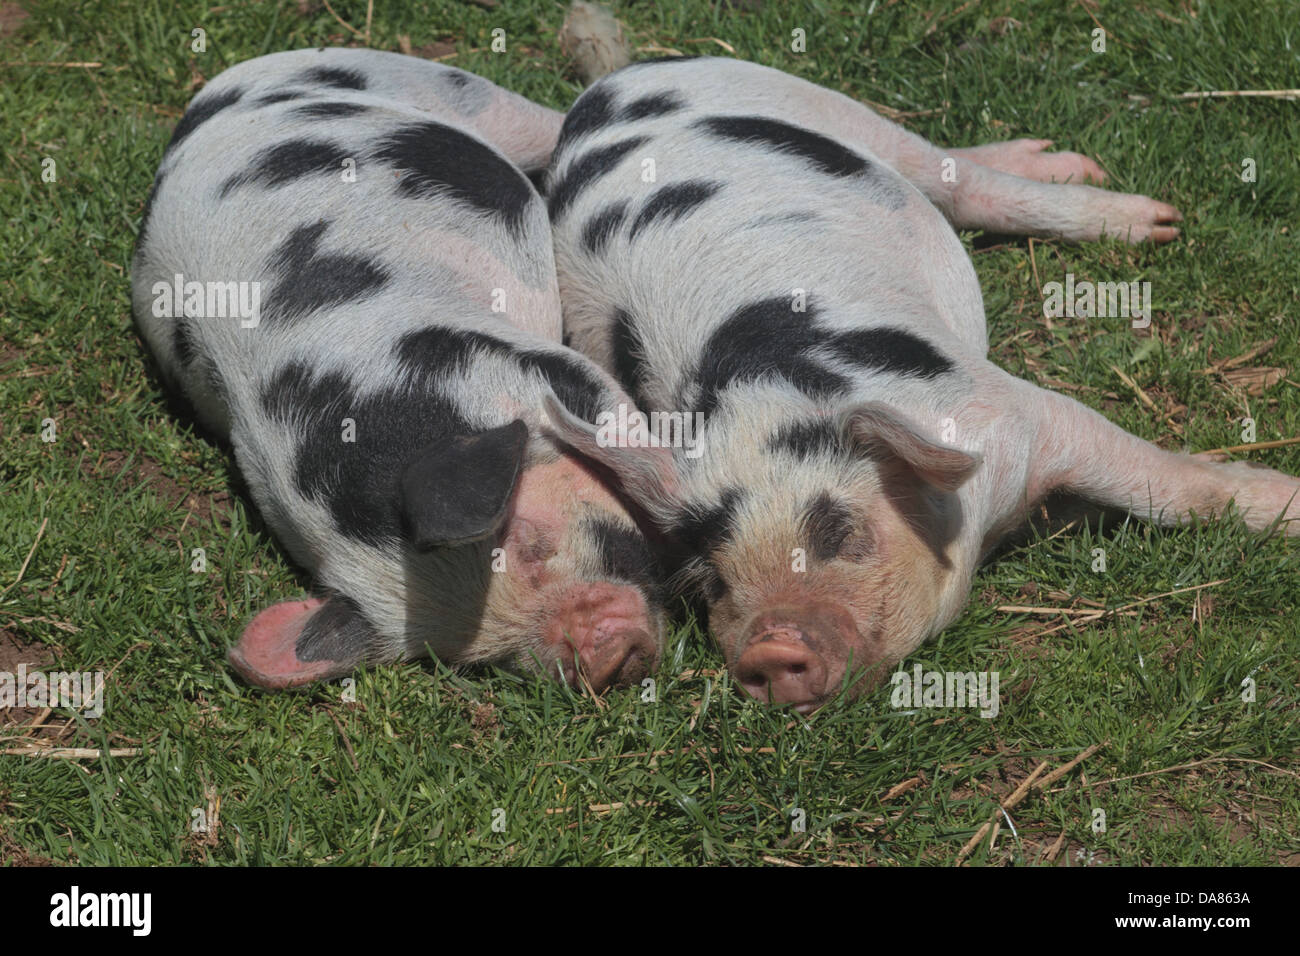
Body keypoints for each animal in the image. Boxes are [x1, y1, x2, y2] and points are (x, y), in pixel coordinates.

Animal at [131, 48, 666, 692]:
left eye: (531, 544)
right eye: (479, 657)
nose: (605, 658)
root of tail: (216, 94)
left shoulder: (531, 366)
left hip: (441, 87)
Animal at [539, 55, 1300, 712]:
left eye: (839, 532)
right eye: (714, 580)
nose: (769, 648)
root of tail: (601, 97)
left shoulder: (1021, 415)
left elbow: (1171, 484)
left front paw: (1284, 505)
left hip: (807, 99)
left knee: (944, 169)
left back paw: (1147, 214)